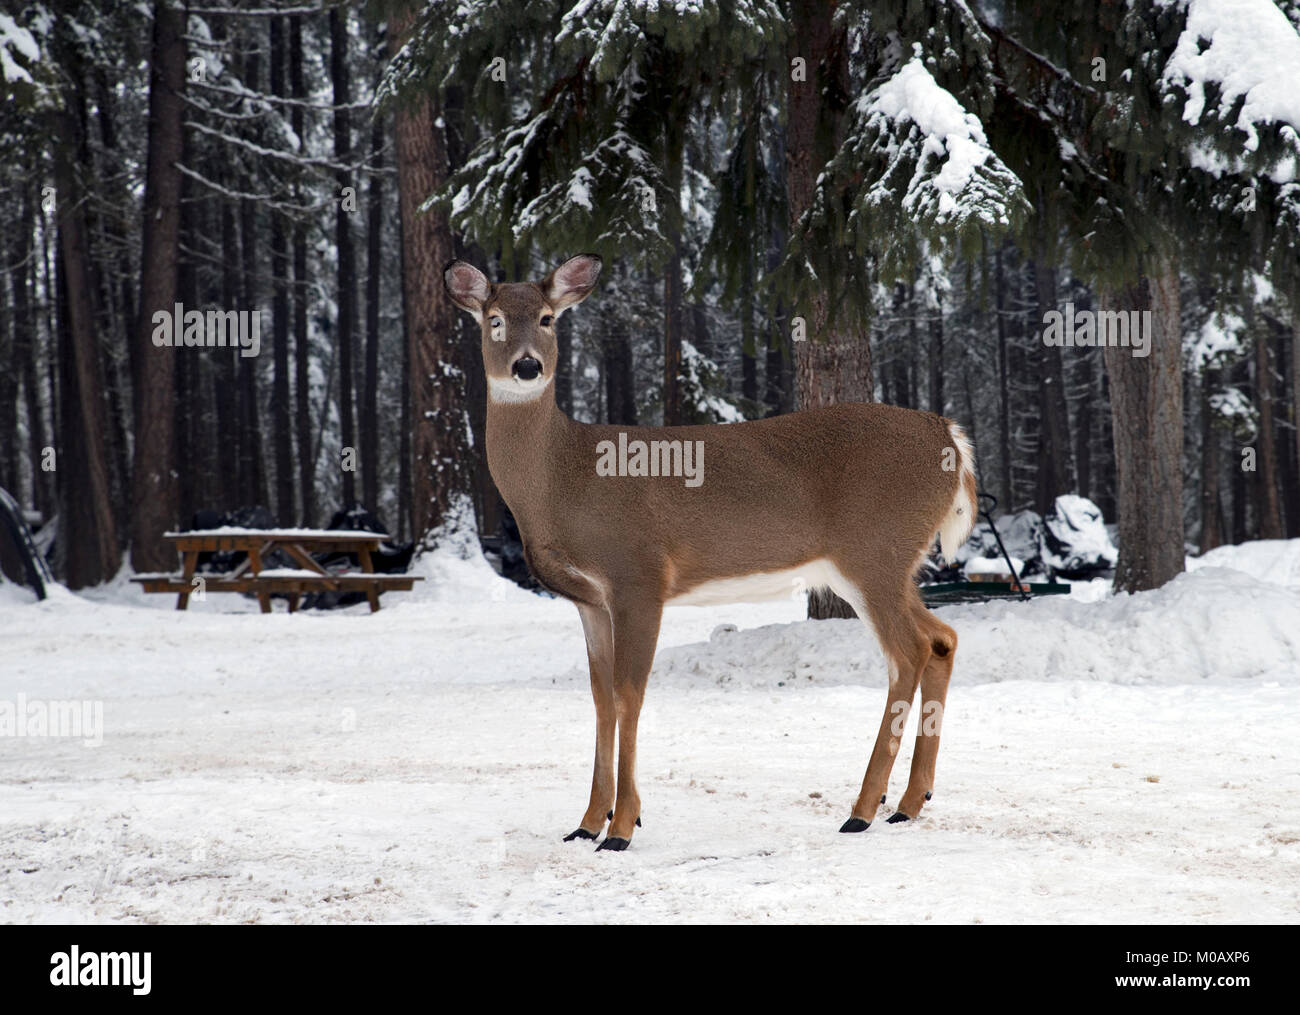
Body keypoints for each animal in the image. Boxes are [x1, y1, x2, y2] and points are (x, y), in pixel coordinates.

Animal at [444, 254, 977, 851]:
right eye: (493, 320)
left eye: (546, 318)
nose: (527, 366)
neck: (564, 478)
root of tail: (951, 437)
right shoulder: (589, 601)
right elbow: (601, 699)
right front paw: (586, 822)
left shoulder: (639, 576)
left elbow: (629, 695)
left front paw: (622, 827)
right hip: (888, 566)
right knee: (942, 639)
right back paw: (909, 802)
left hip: (873, 553)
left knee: (908, 652)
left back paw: (862, 808)